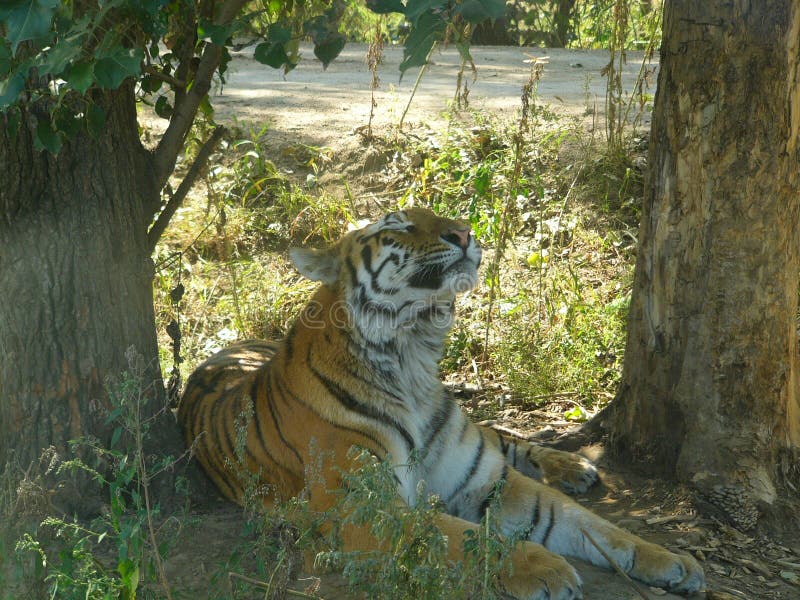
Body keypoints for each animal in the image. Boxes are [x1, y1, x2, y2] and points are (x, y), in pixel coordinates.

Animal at [179, 208, 705, 599]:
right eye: (396, 226)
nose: (465, 232)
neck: (412, 352)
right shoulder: (361, 507)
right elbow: (457, 535)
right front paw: (545, 569)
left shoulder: (484, 479)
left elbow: (585, 523)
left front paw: (671, 561)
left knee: (507, 438)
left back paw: (573, 466)